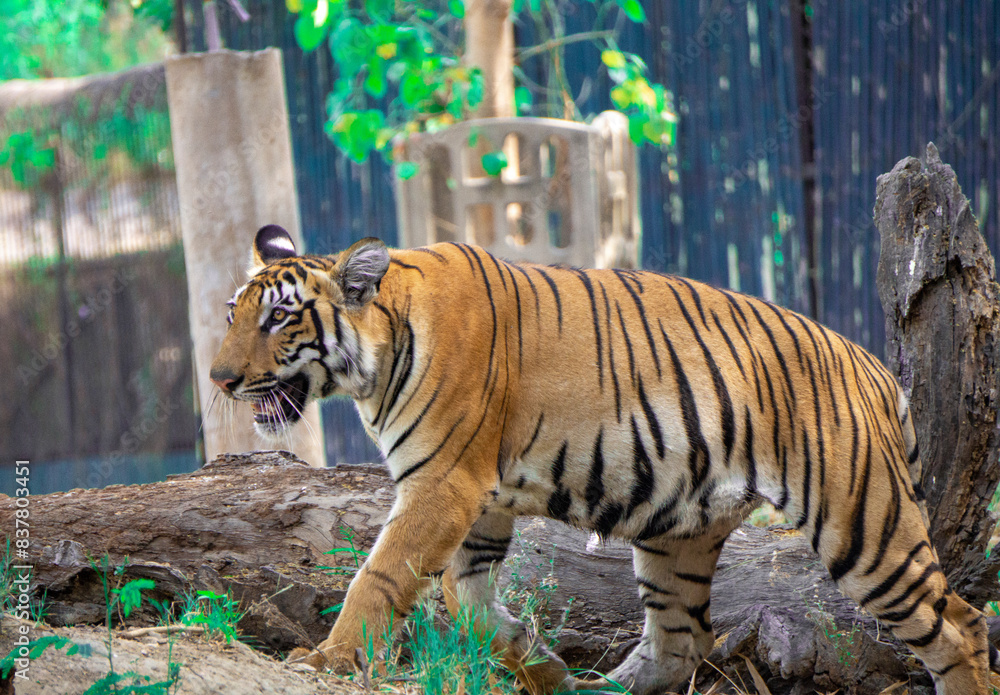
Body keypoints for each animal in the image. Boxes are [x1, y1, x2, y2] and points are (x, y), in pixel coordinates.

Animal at [209, 224, 998, 694]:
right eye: (230, 313)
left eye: (278, 317)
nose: (218, 379)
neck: (376, 357)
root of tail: (872, 367)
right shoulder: (476, 504)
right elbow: (468, 606)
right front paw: (540, 663)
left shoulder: (442, 485)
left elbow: (377, 577)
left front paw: (327, 660)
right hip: (679, 533)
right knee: (682, 641)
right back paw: (596, 688)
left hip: (863, 528)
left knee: (959, 622)